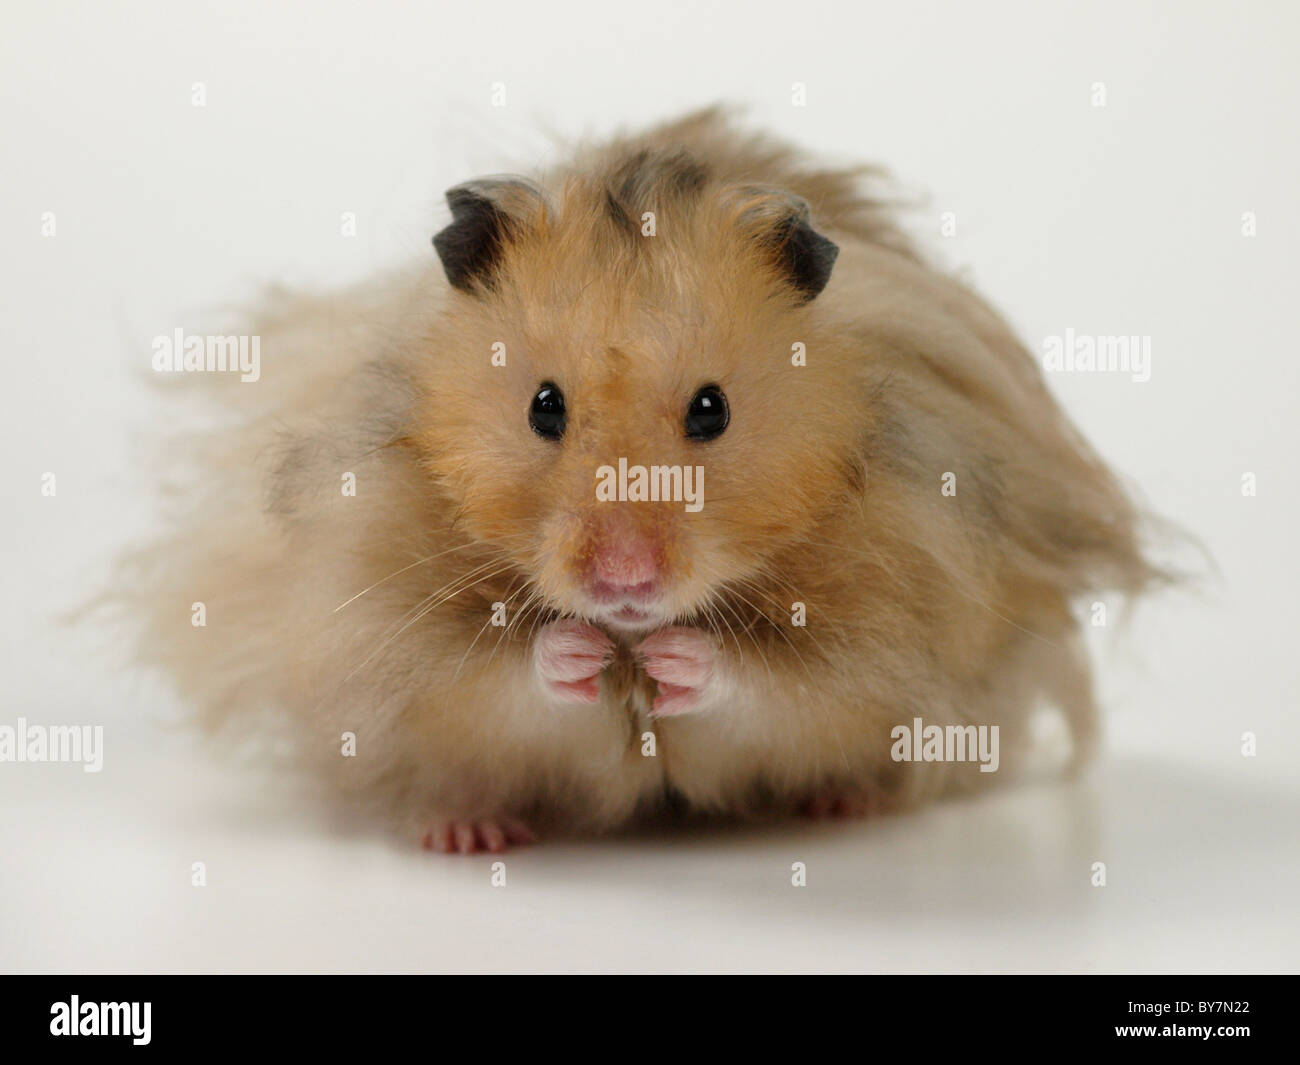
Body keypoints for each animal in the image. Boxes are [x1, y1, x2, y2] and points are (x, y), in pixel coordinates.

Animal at [127, 107, 1158, 853]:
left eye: (712, 409)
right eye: (544, 405)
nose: (624, 581)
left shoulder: (895, 632)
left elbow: (781, 687)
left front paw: (676, 658)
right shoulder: (378, 624)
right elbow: (491, 677)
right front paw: (575, 652)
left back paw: (842, 805)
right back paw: (464, 831)